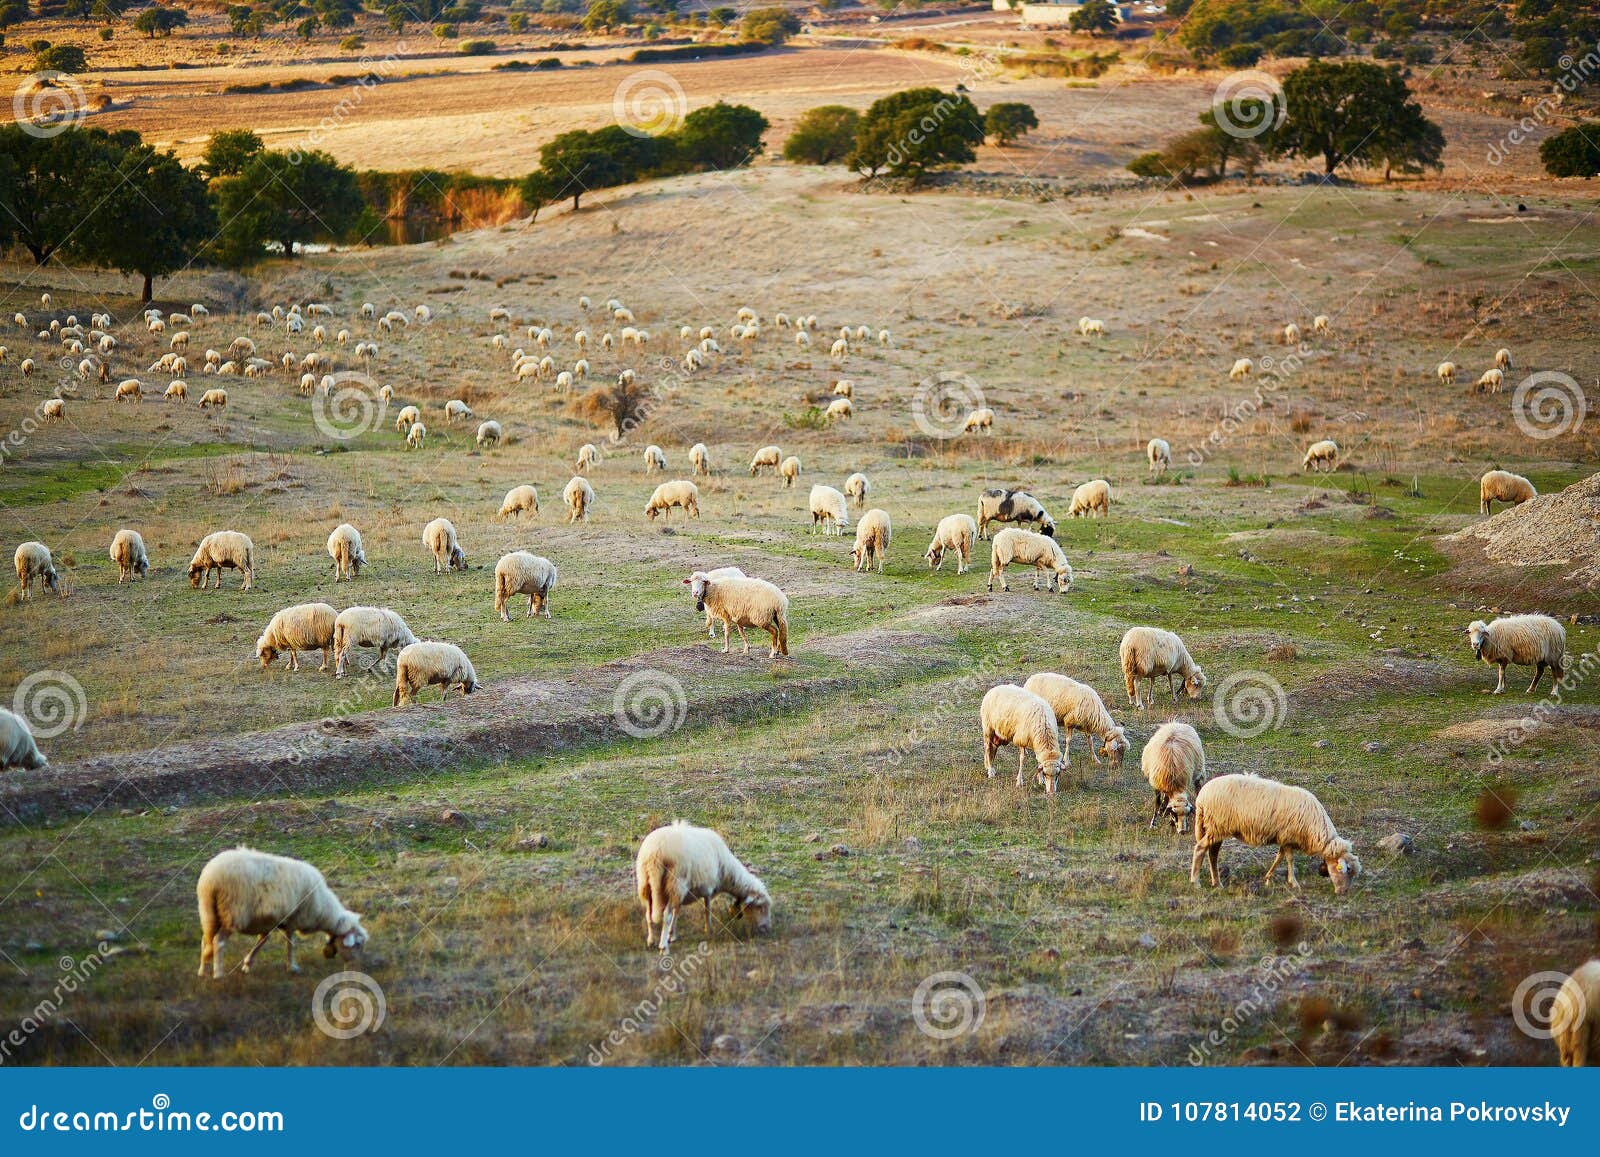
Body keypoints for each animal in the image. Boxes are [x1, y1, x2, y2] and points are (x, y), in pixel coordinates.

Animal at [196, 847, 368, 980]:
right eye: (358, 945)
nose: (356, 967)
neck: (323, 910)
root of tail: (210, 880)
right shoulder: (293, 919)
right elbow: (291, 943)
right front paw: (292, 967)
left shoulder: (270, 922)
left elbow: (262, 940)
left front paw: (247, 964)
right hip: (233, 912)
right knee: (218, 941)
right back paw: (218, 975)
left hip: (209, 912)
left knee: (206, 940)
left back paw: (202, 971)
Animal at [635, 821, 772, 954]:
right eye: (760, 907)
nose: (767, 929)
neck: (727, 872)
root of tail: (655, 852)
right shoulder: (707, 889)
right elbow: (707, 910)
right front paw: (709, 930)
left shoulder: (681, 894)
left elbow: (676, 911)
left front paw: (671, 935)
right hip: (674, 882)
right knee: (665, 915)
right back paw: (663, 946)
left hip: (646, 884)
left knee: (648, 914)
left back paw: (651, 941)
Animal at [1190, 774, 1361, 895]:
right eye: (1347, 871)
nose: (1343, 893)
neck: (1316, 829)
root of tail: (1201, 797)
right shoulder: (1288, 837)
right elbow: (1290, 859)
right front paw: (1294, 883)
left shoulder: (1283, 839)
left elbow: (1279, 857)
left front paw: (1268, 877)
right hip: (1217, 826)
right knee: (1200, 849)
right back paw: (1195, 882)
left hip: (1216, 828)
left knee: (1212, 854)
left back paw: (1217, 883)